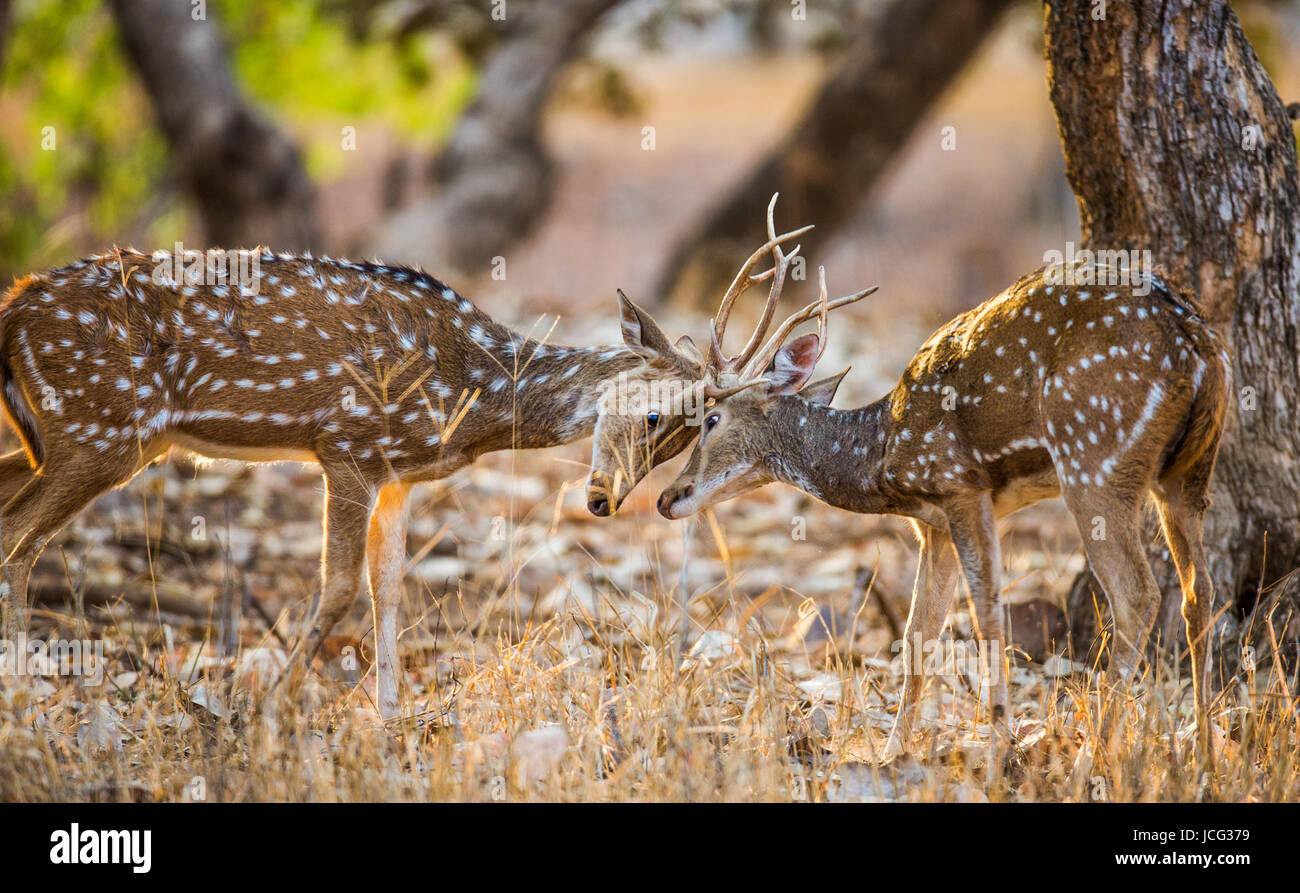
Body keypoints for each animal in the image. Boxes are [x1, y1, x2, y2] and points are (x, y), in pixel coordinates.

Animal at [0, 245, 754, 721]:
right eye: (655, 414)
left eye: (685, 440)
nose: (603, 501)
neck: (474, 389)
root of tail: (13, 310)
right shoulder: (348, 446)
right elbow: (337, 585)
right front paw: (271, 711)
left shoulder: (399, 473)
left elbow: (387, 586)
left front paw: (391, 716)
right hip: (99, 428)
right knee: (18, 543)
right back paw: (21, 704)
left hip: (75, 437)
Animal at [657, 262, 1230, 768]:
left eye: (711, 418)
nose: (667, 497)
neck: (883, 455)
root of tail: (1198, 343)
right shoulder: (933, 525)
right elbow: (918, 631)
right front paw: (892, 753)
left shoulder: (959, 486)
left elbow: (985, 616)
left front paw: (998, 749)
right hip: (1190, 471)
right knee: (1199, 592)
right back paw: (1203, 752)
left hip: (1094, 455)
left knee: (1138, 593)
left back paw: (1091, 759)